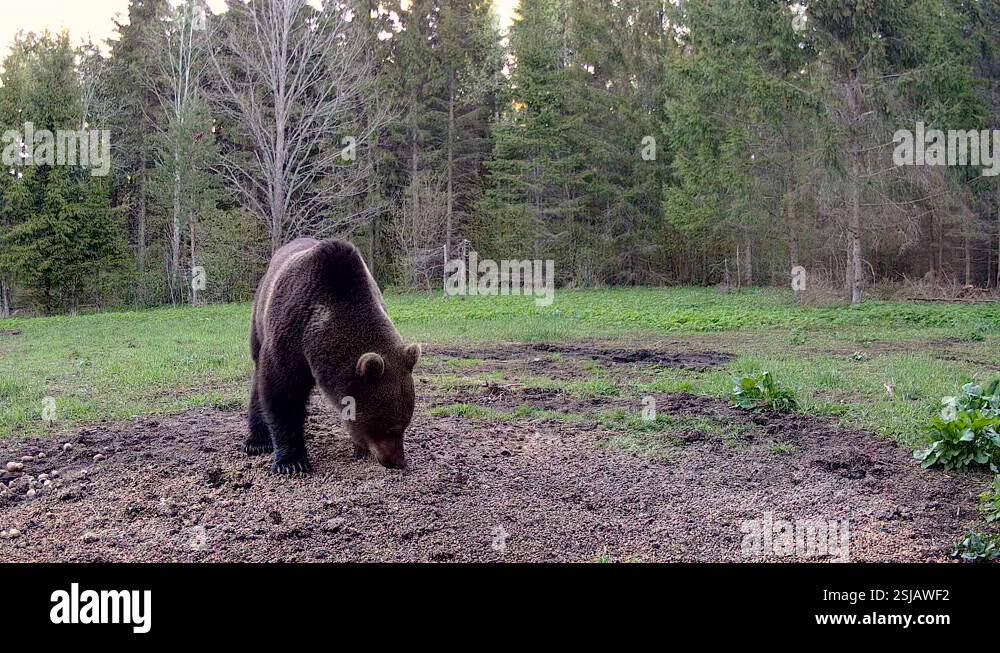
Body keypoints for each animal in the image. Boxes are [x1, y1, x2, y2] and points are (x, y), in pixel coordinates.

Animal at [246, 237, 420, 473]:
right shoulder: (289, 334)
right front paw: (292, 461)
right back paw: (257, 442)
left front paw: (359, 447)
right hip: (259, 314)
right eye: (390, 427)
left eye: (405, 424)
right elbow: (281, 392)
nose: (398, 461)